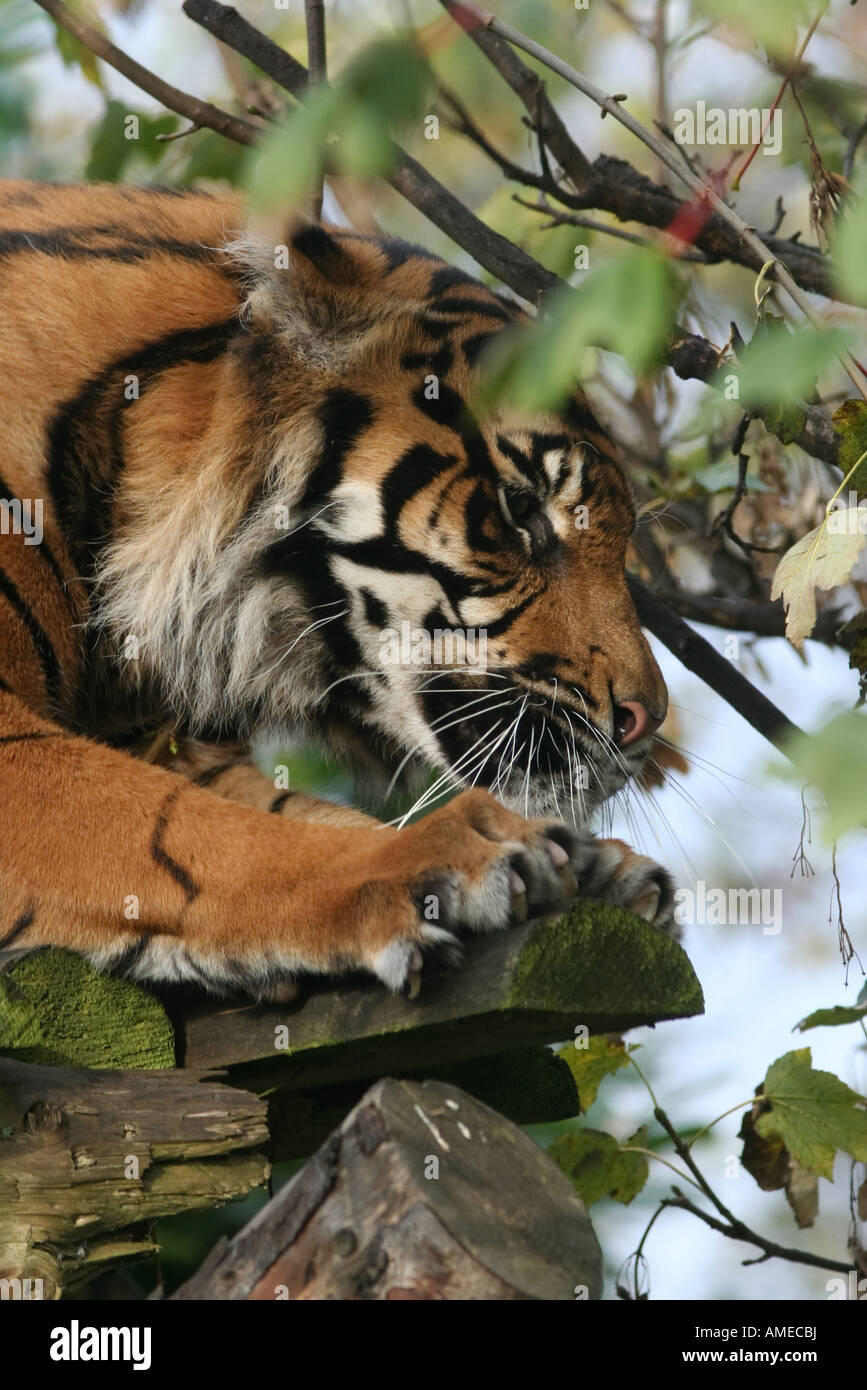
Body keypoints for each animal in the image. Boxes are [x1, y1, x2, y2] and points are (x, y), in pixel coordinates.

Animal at [0, 179, 676, 1002]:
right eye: (521, 511)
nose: (646, 723)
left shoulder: (160, 738)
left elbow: (274, 809)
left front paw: (586, 861)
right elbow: (178, 836)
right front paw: (435, 859)